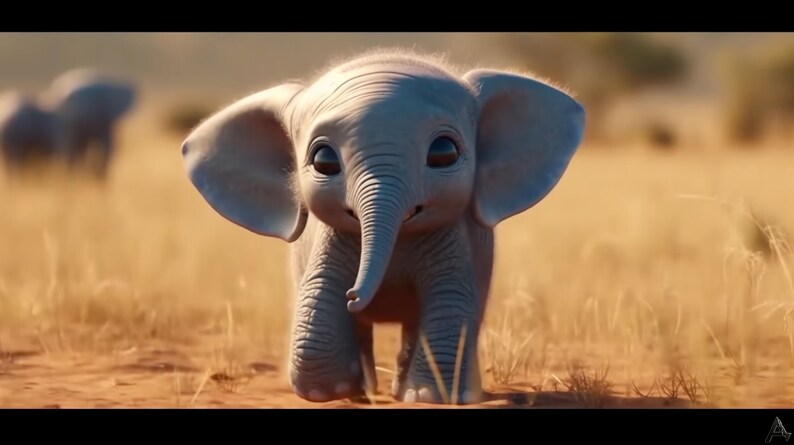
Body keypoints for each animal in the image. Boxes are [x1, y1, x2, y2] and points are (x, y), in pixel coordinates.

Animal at [181, 49, 586, 405]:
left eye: (444, 154)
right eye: (323, 161)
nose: (355, 296)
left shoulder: (453, 236)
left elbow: (451, 297)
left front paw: (428, 397)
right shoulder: (332, 240)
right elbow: (320, 291)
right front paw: (328, 394)